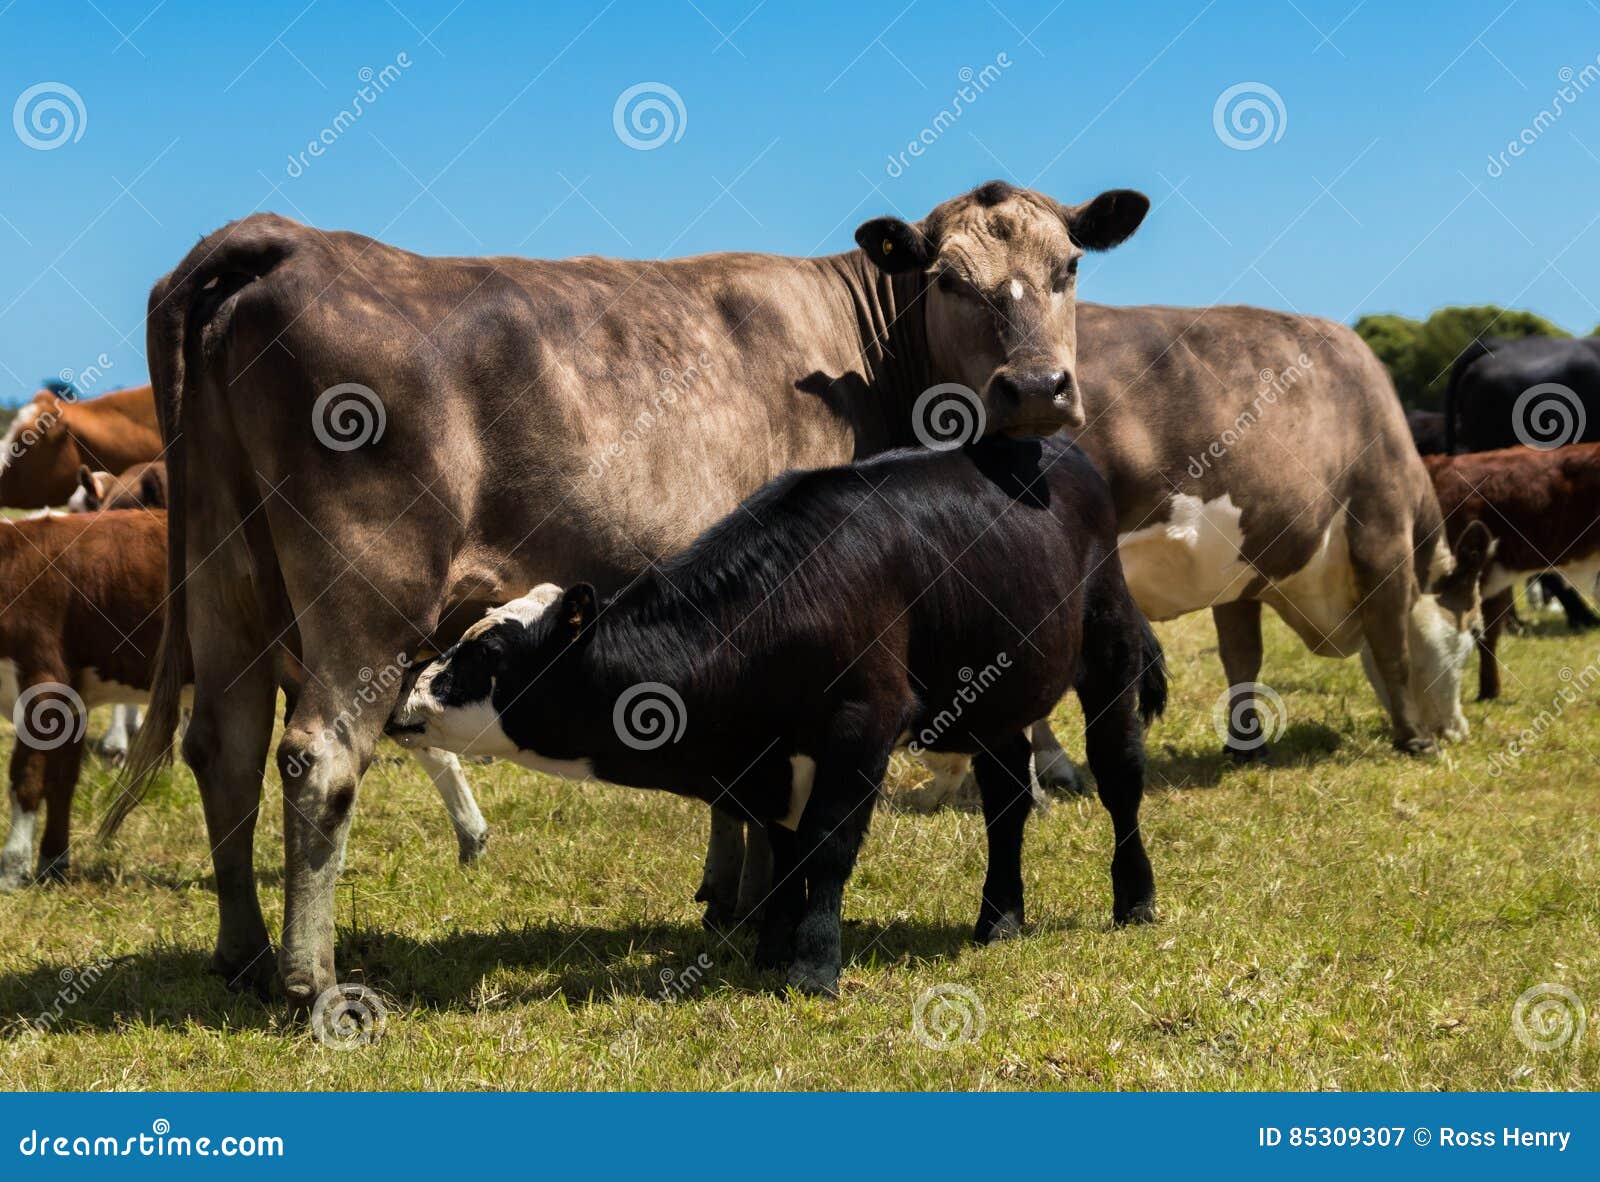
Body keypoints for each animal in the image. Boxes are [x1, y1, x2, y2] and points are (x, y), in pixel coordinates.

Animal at [0, 509, 488, 889]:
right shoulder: (72, 698)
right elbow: (63, 779)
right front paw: (52, 862)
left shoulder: (43, 681)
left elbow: (26, 776)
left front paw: (13, 866)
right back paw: (471, 838)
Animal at [388, 436, 1166, 996]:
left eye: (489, 654)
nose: (405, 701)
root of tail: (1055, 448)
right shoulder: (766, 764)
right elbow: (786, 854)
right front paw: (770, 951)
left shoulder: (862, 728)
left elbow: (826, 847)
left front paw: (814, 967)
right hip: (991, 705)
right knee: (1006, 804)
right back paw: (999, 918)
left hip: (1109, 654)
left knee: (1119, 777)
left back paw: (1135, 901)